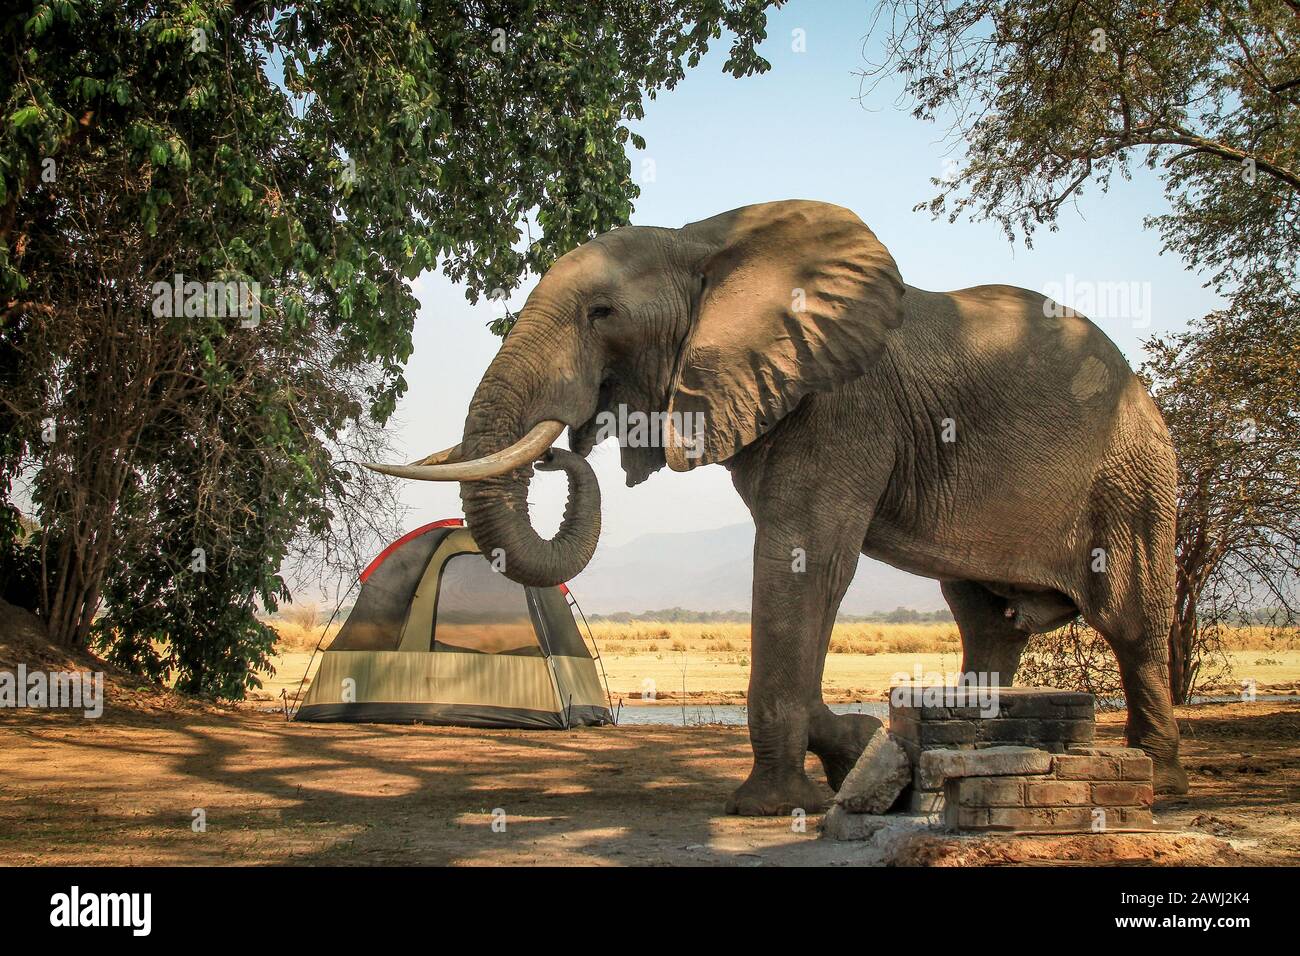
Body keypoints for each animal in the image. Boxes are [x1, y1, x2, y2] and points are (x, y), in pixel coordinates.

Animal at [367, 199, 1188, 814]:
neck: (706, 243)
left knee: (1132, 623)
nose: (561, 448)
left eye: (602, 313)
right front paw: (855, 750)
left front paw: (770, 806)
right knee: (987, 624)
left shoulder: (842, 407)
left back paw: (1161, 784)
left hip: (1135, 477)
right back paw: (971, 749)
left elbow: (804, 561)